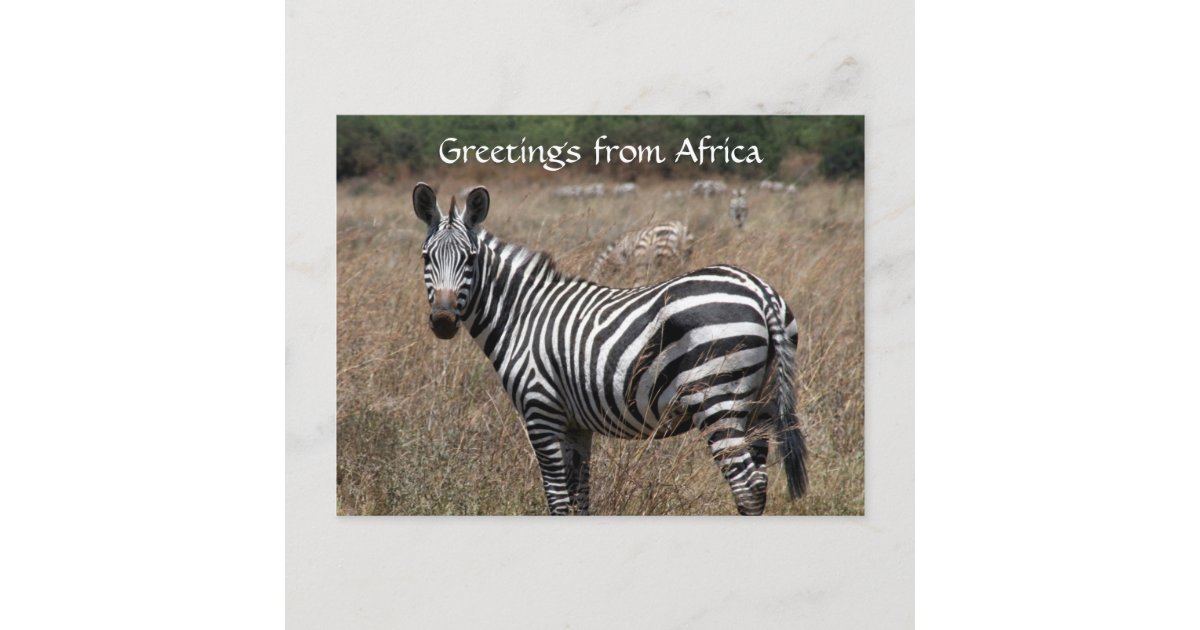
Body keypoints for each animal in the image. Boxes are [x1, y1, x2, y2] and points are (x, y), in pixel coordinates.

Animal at [413, 183, 807, 515]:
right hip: (760, 405)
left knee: (746, 487)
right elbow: (580, 498)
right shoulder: (575, 424)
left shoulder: (541, 411)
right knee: (758, 483)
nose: (443, 320)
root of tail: (759, 290)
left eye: (470, 258)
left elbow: (557, 500)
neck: (522, 315)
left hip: (718, 399)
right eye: (426, 258)